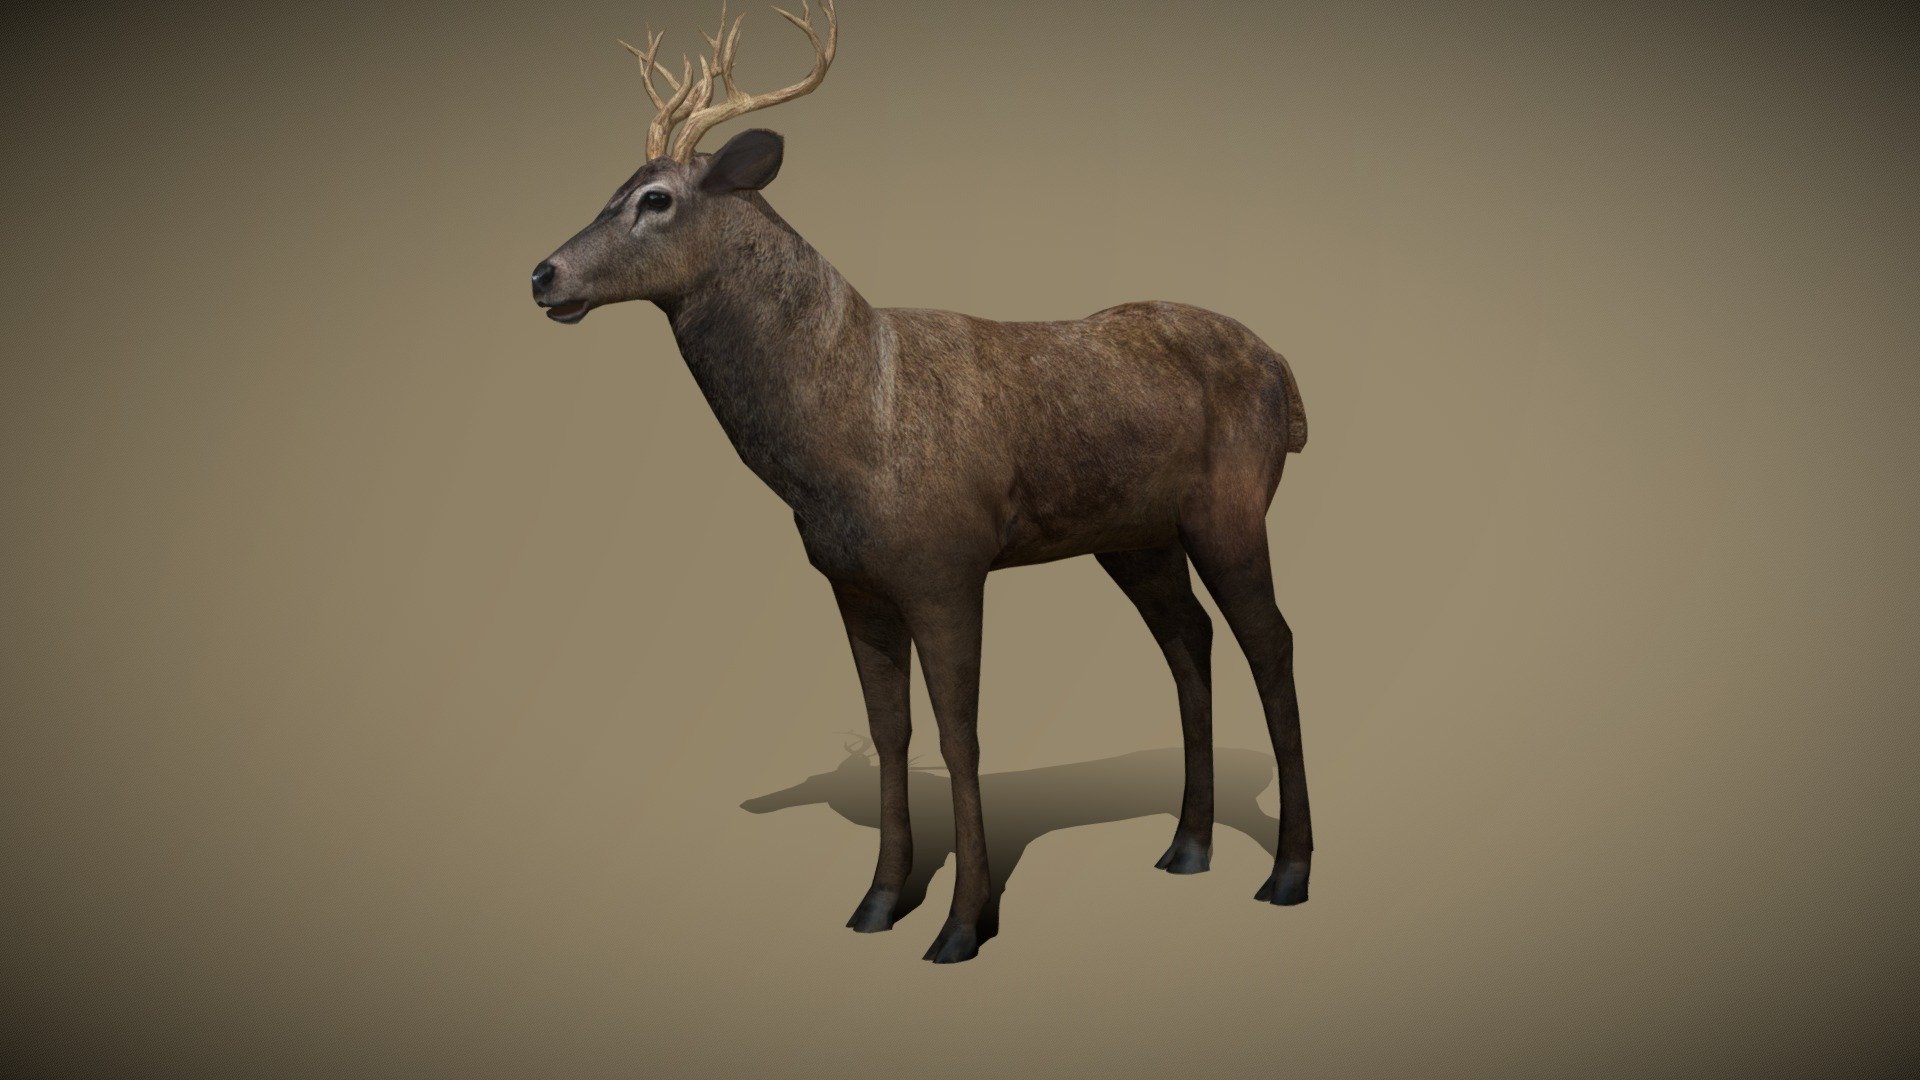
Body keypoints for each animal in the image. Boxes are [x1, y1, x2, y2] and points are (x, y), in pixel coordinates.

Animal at [531, 0, 1313, 963]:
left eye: (655, 198)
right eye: (616, 185)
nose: (543, 274)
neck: (838, 436)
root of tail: (1286, 373)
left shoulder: (946, 563)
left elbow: (958, 731)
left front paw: (963, 923)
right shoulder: (854, 581)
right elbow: (891, 731)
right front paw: (877, 900)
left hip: (1230, 508)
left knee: (1270, 640)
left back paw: (1287, 872)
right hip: (1136, 537)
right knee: (1188, 638)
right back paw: (1187, 845)